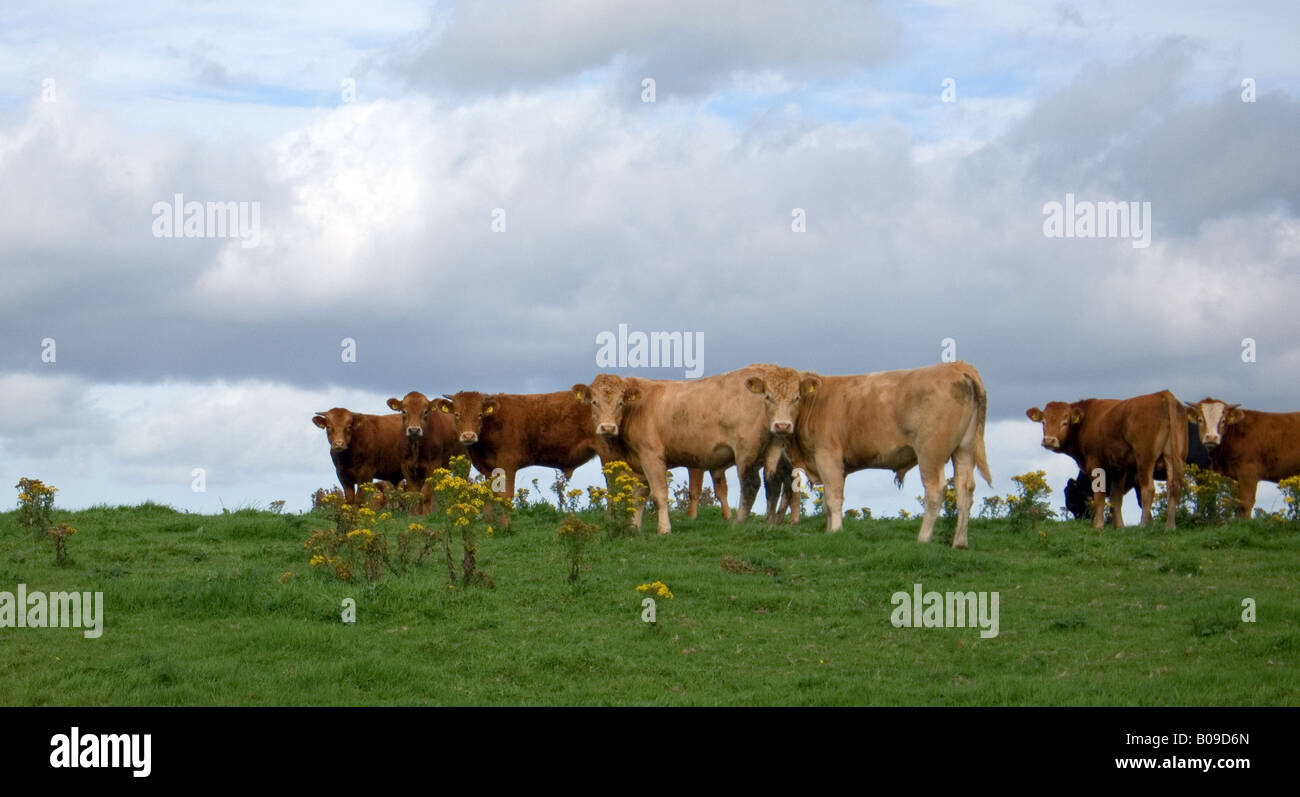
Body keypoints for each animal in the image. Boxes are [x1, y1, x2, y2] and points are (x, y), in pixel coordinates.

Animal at [573, 364, 816, 535]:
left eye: (620, 403)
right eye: (594, 402)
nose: (607, 427)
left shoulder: (651, 456)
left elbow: (659, 493)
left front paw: (664, 529)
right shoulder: (639, 462)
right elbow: (639, 495)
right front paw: (634, 528)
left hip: (747, 449)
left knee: (751, 484)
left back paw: (739, 522)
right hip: (775, 444)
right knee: (773, 481)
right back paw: (769, 522)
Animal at [791, 361, 992, 548]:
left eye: (796, 397)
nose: (784, 424)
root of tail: (958, 366)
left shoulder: (827, 456)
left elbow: (833, 496)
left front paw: (835, 531)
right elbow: (827, 499)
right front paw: (828, 531)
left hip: (930, 452)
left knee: (935, 490)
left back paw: (924, 538)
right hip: (965, 448)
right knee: (964, 489)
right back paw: (959, 542)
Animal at [1026, 390, 1185, 530]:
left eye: (1065, 422)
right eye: (1043, 422)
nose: (1049, 440)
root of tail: (1161, 394)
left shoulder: (1095, 464)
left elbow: (1100, 495)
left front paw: (1098, 525)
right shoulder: (1118, 468)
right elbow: (1116, 497)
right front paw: (1119, 526)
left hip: (1145, 460)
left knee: (1148, 489)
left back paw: (1143, 526)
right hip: (1172, 458)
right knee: (1174, 486)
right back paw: (1170, 527)